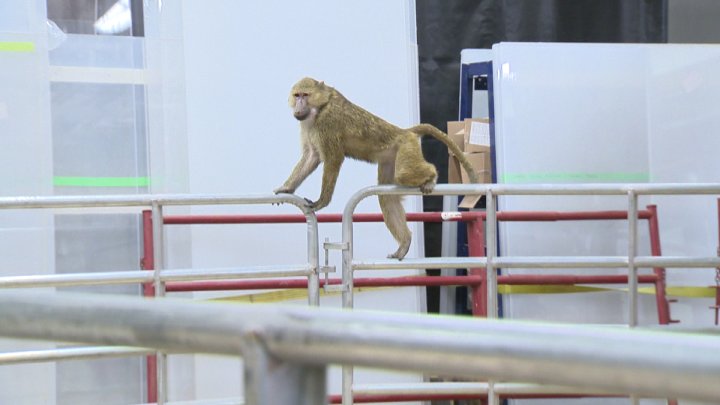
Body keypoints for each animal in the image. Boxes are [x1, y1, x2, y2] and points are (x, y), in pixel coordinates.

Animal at [274, 77, 480, 259]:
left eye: (305, 95)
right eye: (297, 95)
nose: (298, 107)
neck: (321, 106)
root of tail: (404, 131)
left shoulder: (327, 123)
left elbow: (332, 158)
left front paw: (321, 202)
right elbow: (312, 157)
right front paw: (286, 188)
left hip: (406, 146)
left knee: (404, 175)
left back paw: (431, 176)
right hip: (391, 159)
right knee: (386, 196)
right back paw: (404, 244)